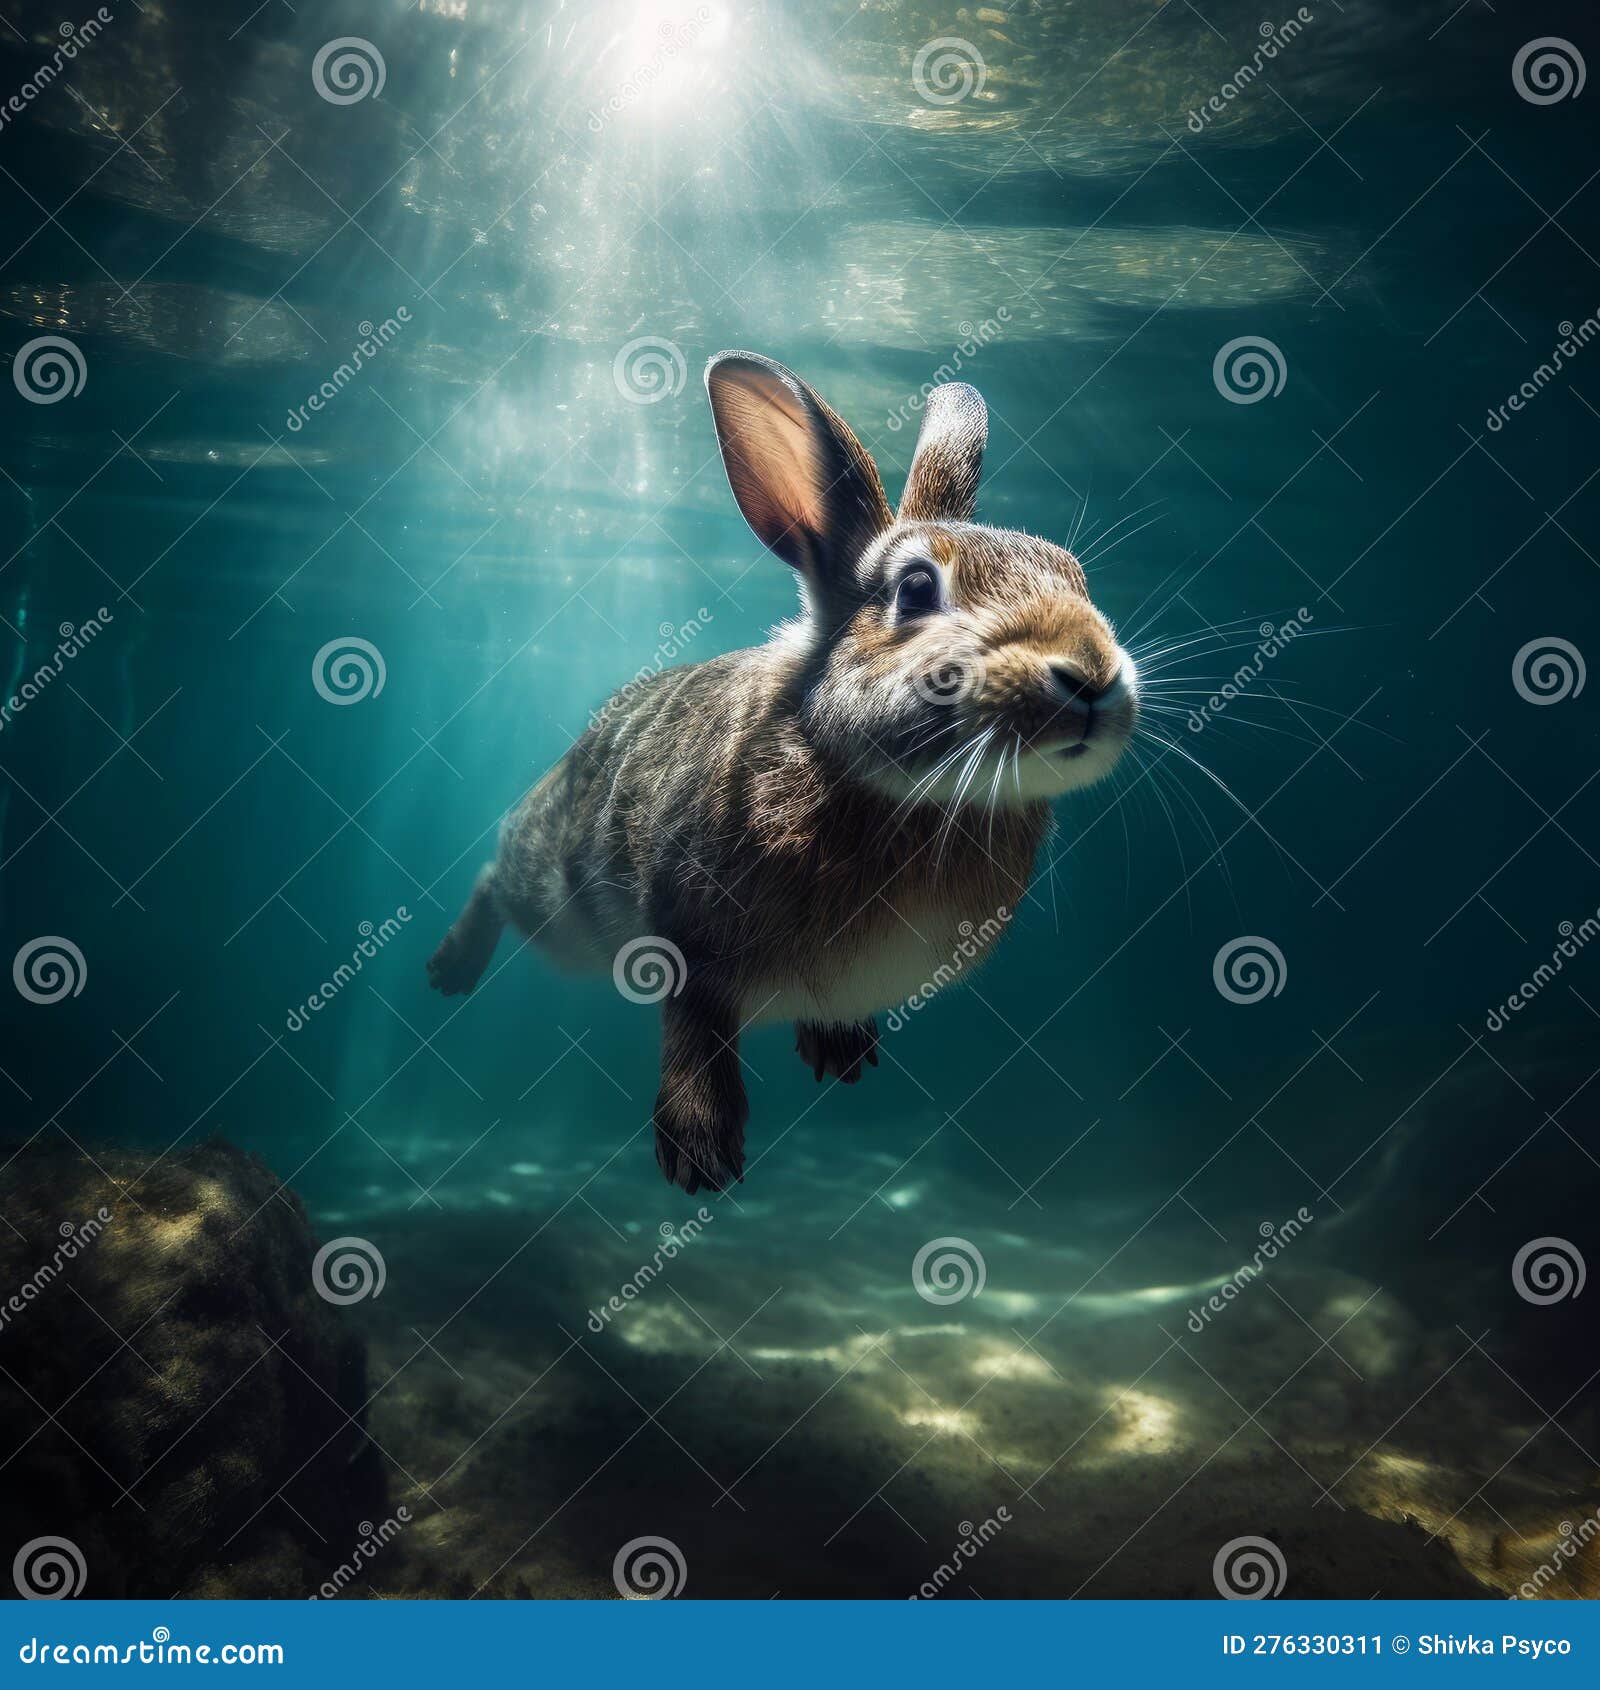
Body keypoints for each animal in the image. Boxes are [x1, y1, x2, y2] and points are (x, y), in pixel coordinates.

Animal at [427, 351, 1139, 1194]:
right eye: (916, 589)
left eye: (1075, 573)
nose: (1092, 677)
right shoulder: (687, 937)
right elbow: (696, 1027)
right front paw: (700, 1158)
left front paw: (840, 1053)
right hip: (556, 902)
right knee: (493, 877)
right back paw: (449, 970)